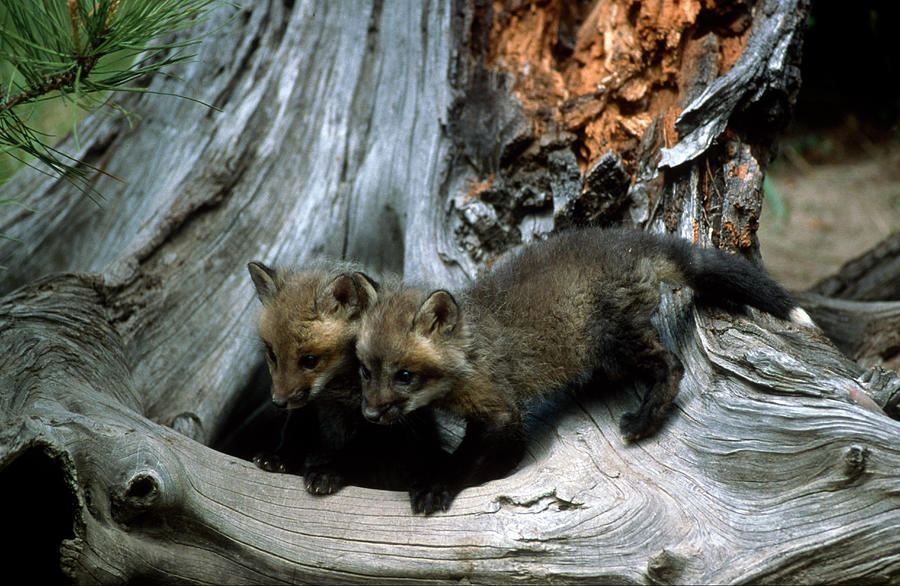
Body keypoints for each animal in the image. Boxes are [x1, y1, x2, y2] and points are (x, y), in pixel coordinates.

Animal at [247, 260, 450, 513]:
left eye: (310, 360)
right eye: (272, 355)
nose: (278, 402)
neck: (336, 393)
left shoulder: (378, 420)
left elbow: (354, 453)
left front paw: (326, 472)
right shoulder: (310, 409)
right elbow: (293, 433)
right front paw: (279, 457)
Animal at [355, 227, 814, 502]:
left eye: (405, 376)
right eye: (364, 371)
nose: (370, 414)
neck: (471, 355)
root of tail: (636, 240)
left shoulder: (502, 410)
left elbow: (477, 461)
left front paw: (440, 485)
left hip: (615, 339)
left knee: (672, 365)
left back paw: (644, 420)